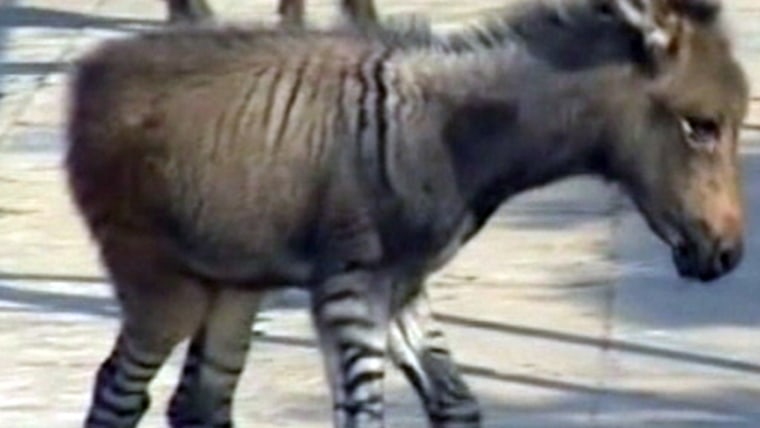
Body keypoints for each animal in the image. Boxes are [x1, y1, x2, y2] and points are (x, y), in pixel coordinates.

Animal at [66, 0, 748, 427]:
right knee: (116, 394)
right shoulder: (351, 287)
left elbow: (455, 403)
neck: (452, 136)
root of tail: (93, 71)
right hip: (164, 289)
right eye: (701, 126)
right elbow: (365, 415)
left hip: (234, 285)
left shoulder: (403, 285)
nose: (727, 256)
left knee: (198, 404)